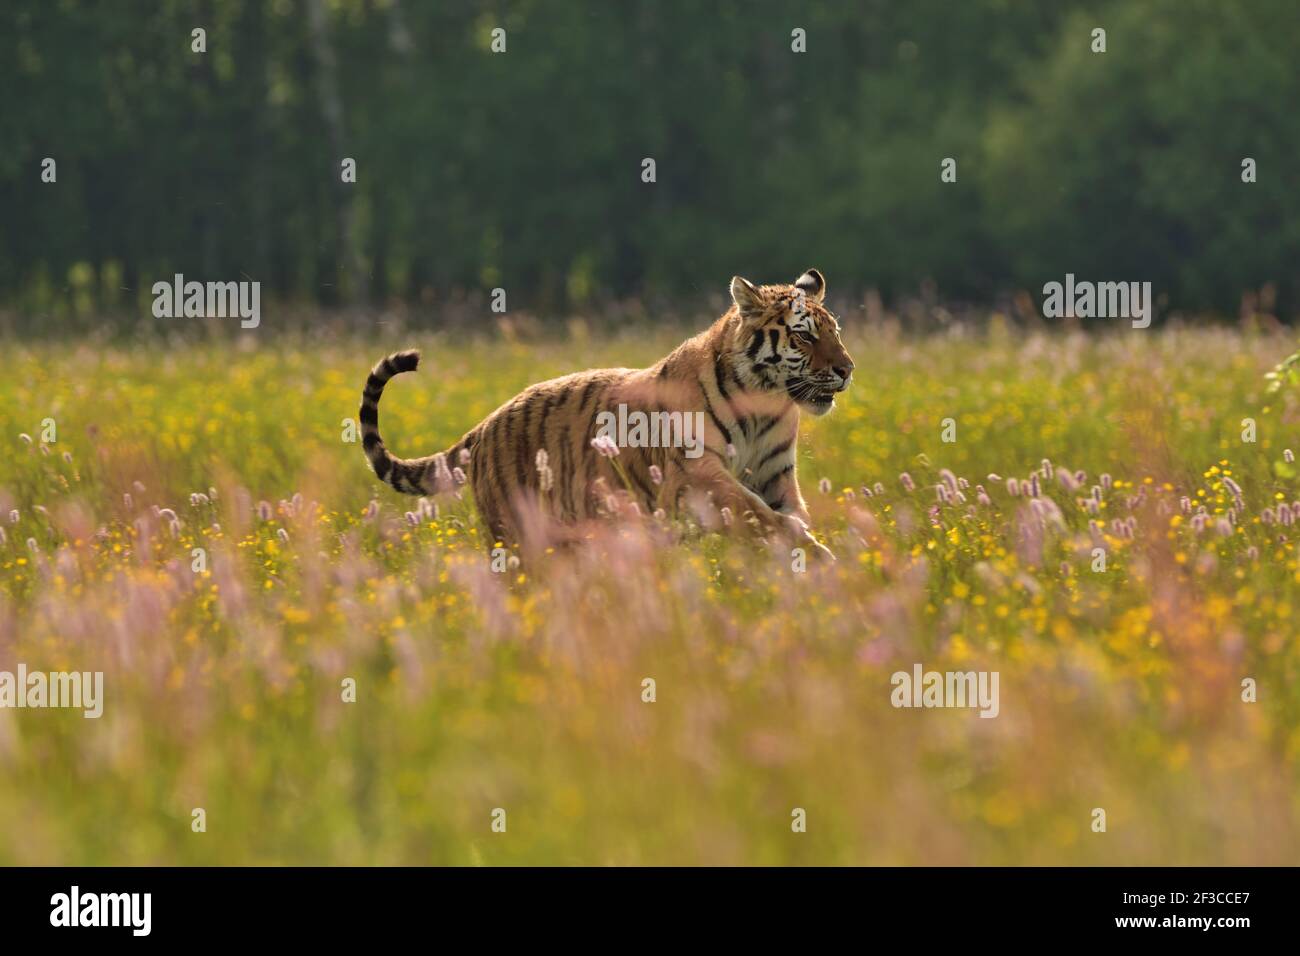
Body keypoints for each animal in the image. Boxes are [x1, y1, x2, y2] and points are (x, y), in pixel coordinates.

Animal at [359, 269, 854, 559]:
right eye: (805, 336)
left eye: (834, 332)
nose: (847, 369)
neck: (764, 402)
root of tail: (484, 424)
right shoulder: (694, 475)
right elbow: (755, 512)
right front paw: (817, 557)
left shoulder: (775, 476)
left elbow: (780, 514)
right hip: (519, 536)